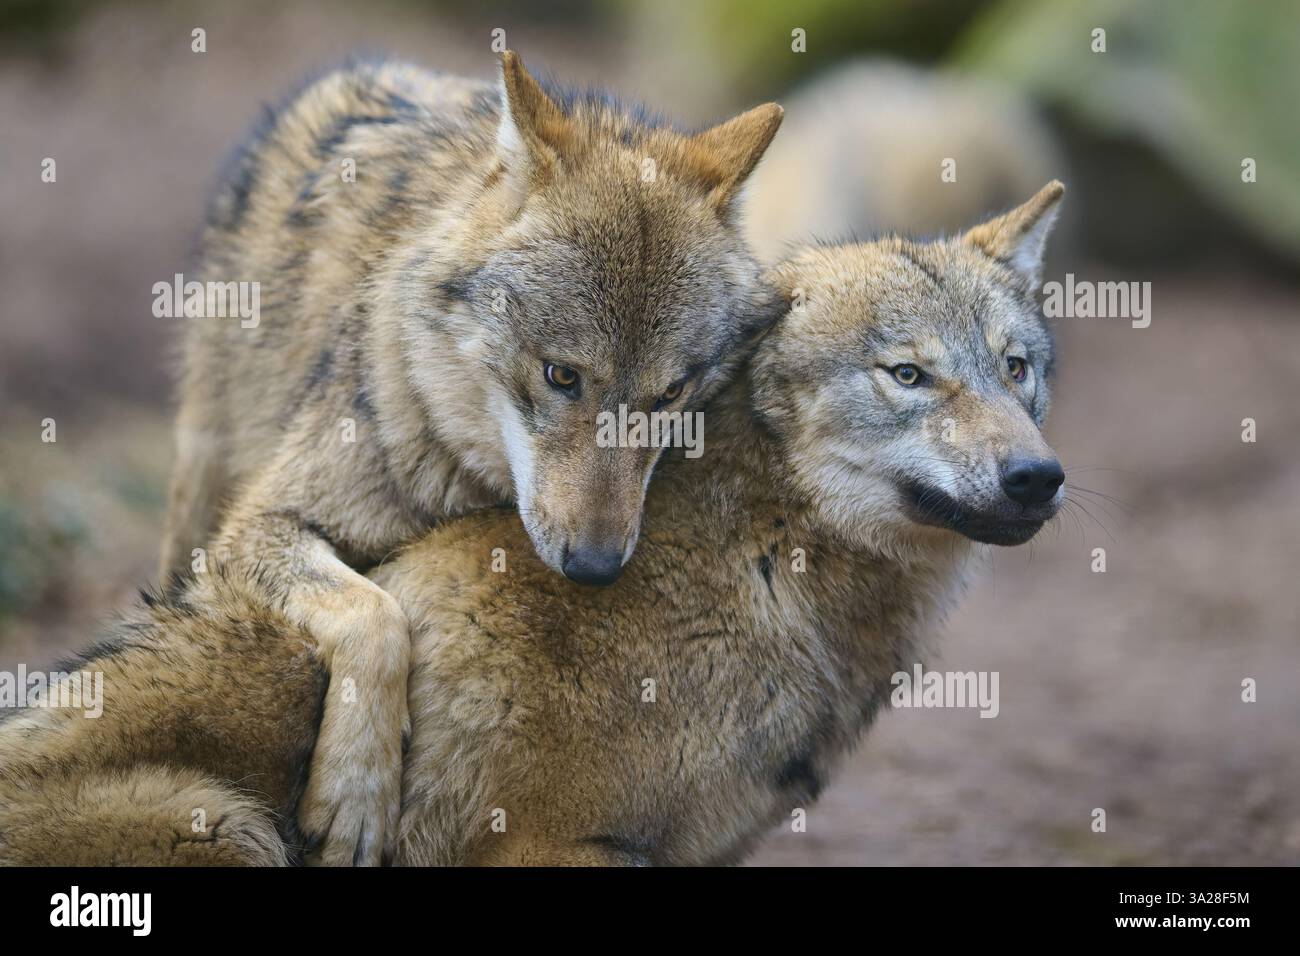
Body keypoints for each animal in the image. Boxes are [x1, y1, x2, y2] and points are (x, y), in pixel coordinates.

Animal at [0, 183, 1065, 865]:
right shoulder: (553, 844)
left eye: (1015, 368)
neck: (762, 558)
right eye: (908, 374)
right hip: (230, 826)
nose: (1038, 478)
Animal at [157, 52, 783, 864]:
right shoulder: (259, 525)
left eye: (670, 394)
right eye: (562, 375)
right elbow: (376, 616)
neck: (463, 476)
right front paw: (357, 796)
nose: (595, 568)